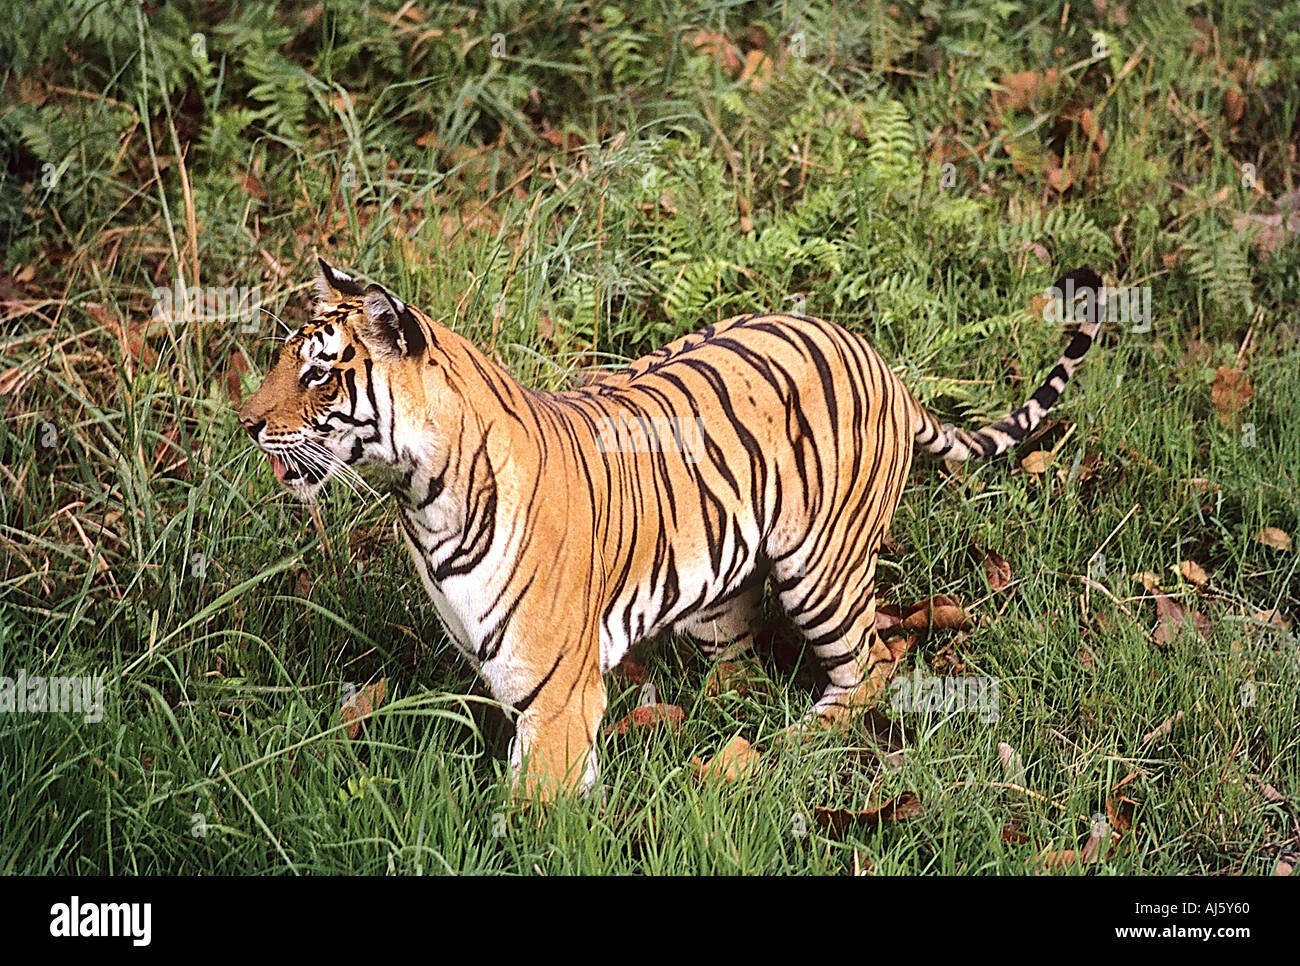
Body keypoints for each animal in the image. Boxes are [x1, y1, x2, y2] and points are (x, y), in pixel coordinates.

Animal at [238, 258, 1103, 797]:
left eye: (317, 373)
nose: (244, 423)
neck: (422, 496)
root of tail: (881, 362)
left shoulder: (556, 694)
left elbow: (533, 811)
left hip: (821, 572)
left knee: (874, 662)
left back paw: (796, 741)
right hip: (719, 586)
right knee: (744, 663)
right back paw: (709, 728)